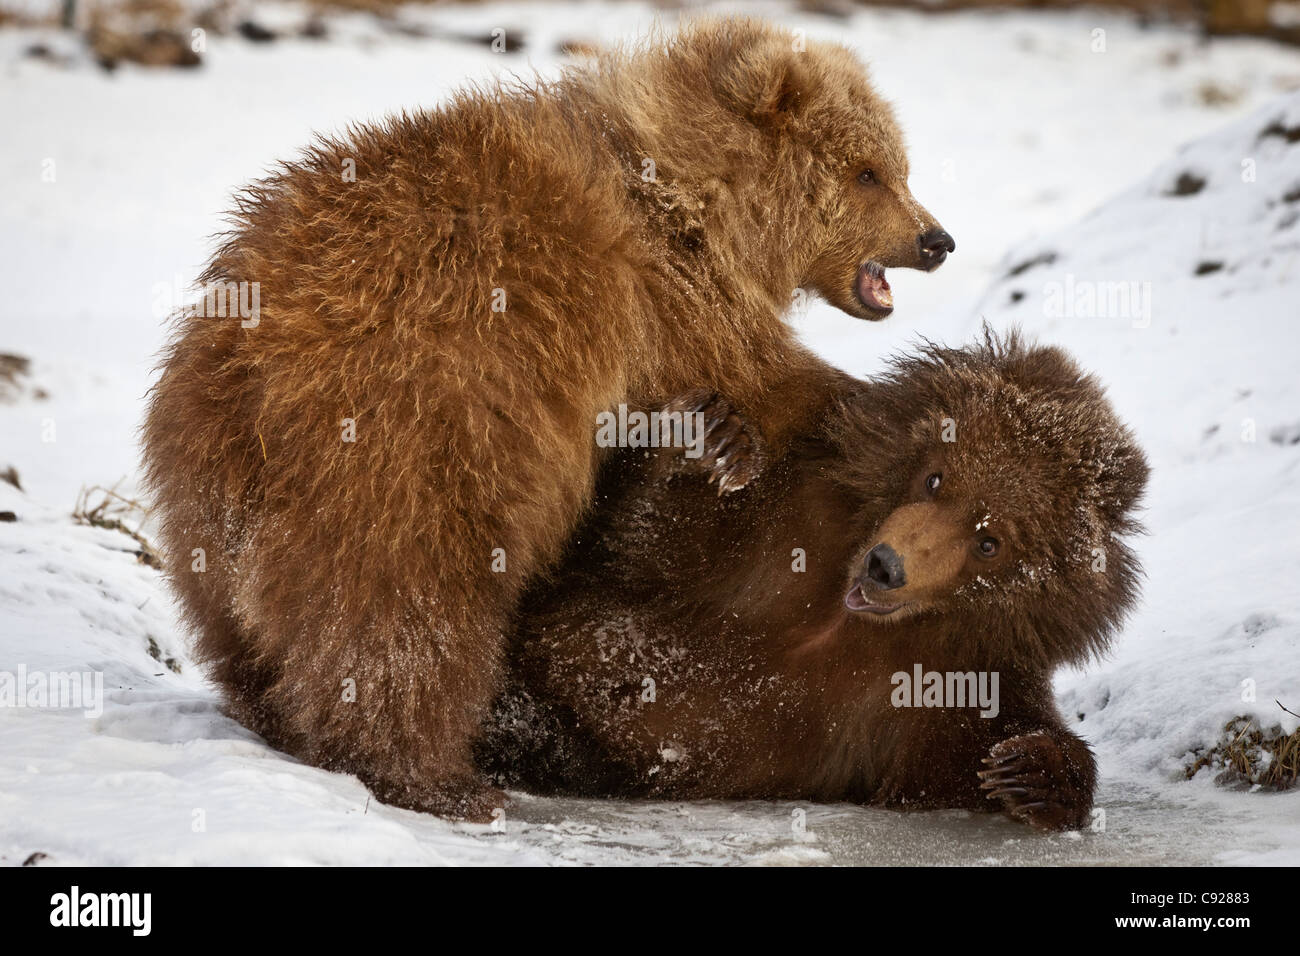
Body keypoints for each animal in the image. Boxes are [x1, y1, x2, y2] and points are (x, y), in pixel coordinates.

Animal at [139, 16, 955, 818]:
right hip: (407, 432)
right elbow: (775, 378)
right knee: (406, 605)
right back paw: (436, 776)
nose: (937, 239)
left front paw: (721, 440)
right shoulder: (665, 300)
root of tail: (242, 365)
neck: (695, 197)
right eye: (868, 172)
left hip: (207, 488)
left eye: (897, 163)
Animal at [478, 332, 1149, 830]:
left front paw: (1028, 771)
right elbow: (639, 556)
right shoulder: (784, 527)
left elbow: (971, 754)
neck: (839, 617)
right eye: (936, 477)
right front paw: (707, 442)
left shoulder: (945, 682)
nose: (886, 566)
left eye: (990, 542)